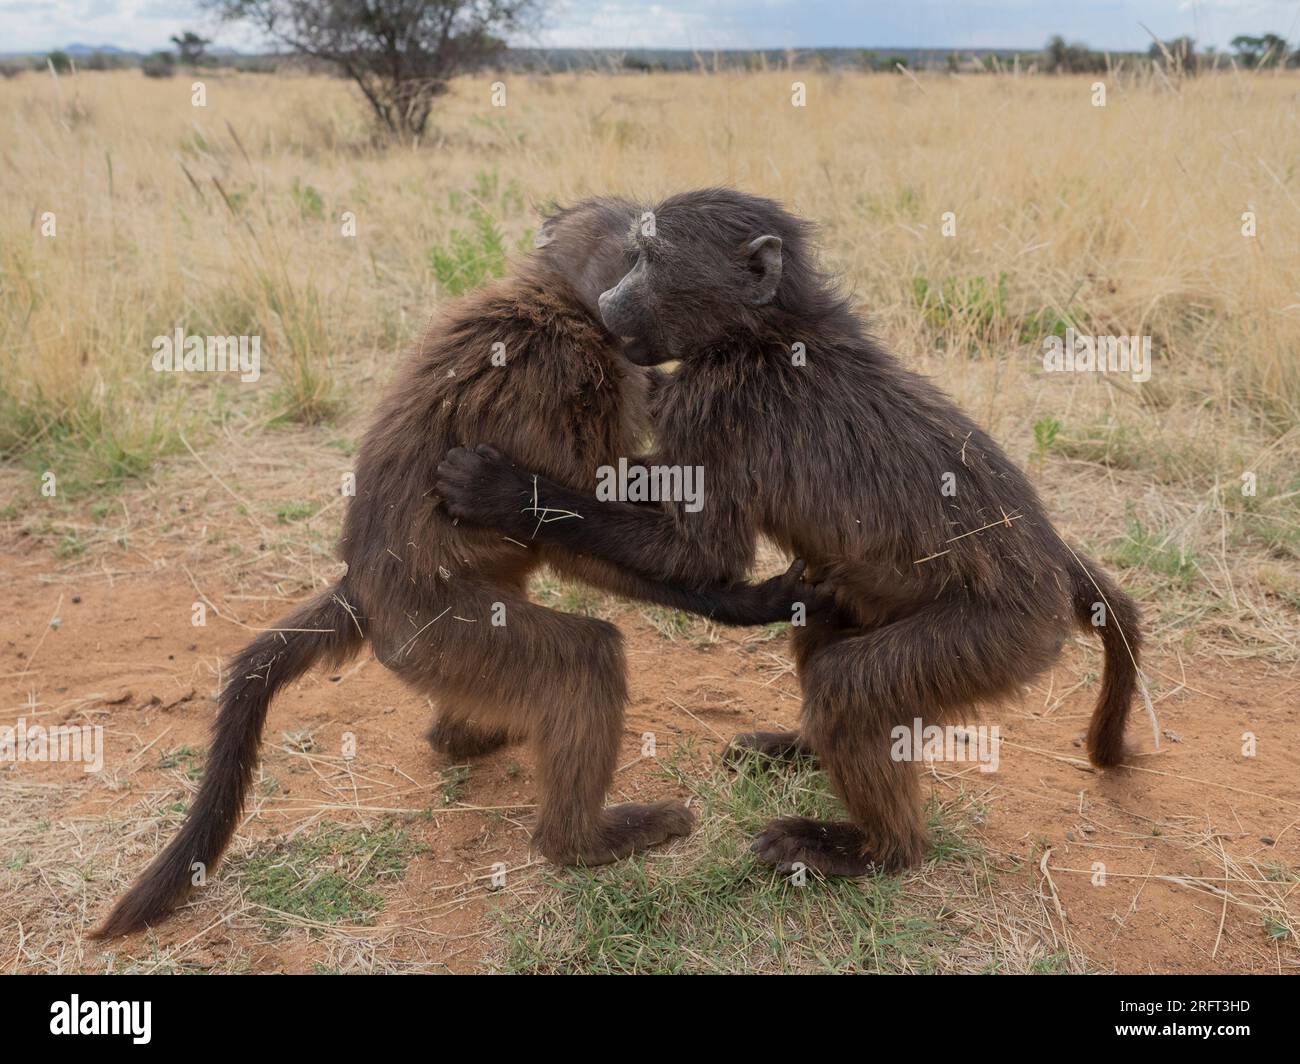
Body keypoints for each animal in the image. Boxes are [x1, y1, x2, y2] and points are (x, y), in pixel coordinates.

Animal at [93, 196, 823, 938]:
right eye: (632, 257)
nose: (631, 317)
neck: (554, 295)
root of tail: (361, 587)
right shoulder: (566, 373)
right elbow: (570, 542)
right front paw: (746, 602)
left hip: (449, 650)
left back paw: (466, 735)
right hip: (441, 636)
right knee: (584, 657)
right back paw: (582, 842)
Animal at [435, 187, 1143, 878]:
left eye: (647, 258)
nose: (607, 302)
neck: (763, 331)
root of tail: (1051, 557)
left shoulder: (714, 404)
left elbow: (701, 555)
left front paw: (501, 490)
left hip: (998, 636)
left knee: (848, 686)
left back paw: (867, 850)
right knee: (825, 628)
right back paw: (802, 747)